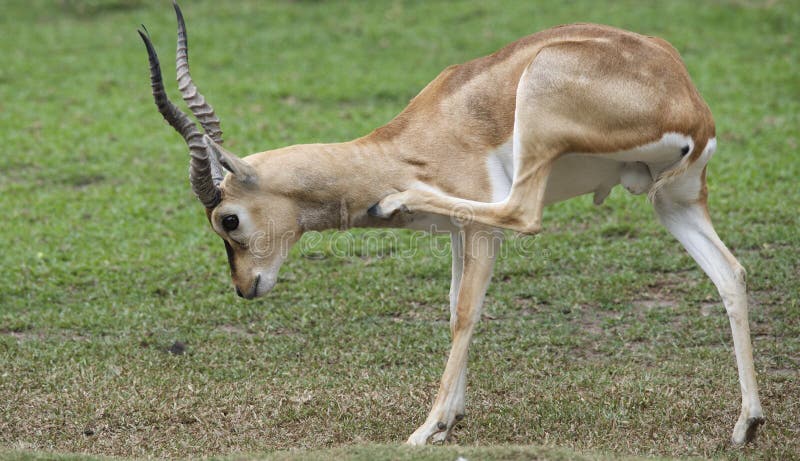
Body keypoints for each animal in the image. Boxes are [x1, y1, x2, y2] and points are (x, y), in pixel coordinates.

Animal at [138, 2, 764, 446]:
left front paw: (425, 428)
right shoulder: (461, 235)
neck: (413, 139)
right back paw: (747, 424)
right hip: (675, 202)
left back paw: (393, 202)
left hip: (540, 120)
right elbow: (454, 305)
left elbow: (465, 310)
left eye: (228, 219)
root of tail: (688, 101)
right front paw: (450, 419)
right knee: (730, 274)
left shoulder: (480, 229)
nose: (245, 287)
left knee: (523, 212)